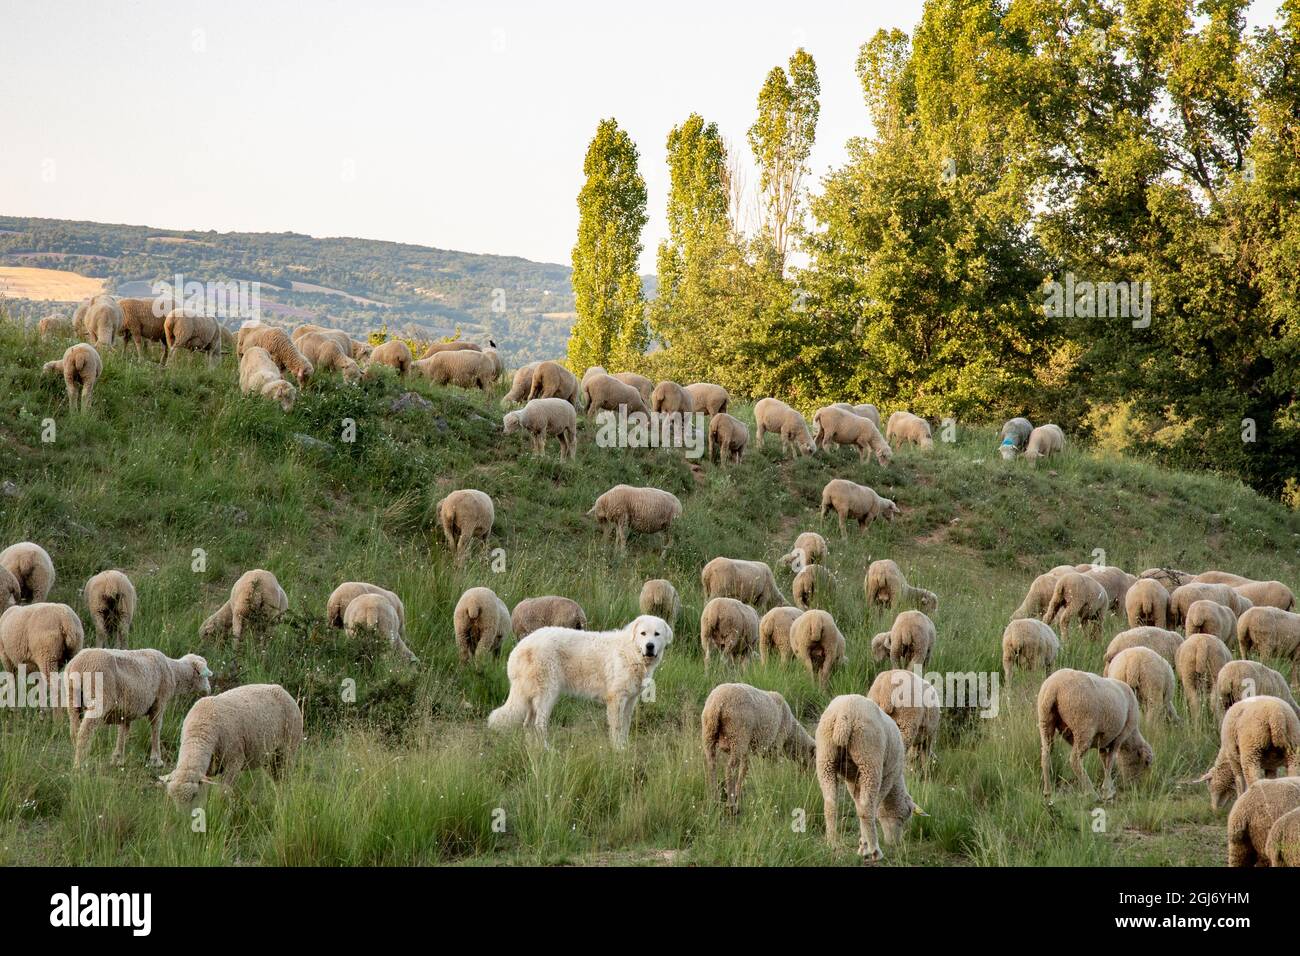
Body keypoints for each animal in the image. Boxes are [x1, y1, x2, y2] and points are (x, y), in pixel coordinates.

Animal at [65, 648, 211, 768]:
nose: (209, 690)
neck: (174, 672)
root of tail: (78, 664)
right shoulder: (159, 702)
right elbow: (156, 728)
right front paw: (156, 760)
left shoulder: (126, 710)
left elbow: (123, 732)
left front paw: (118, 759)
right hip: (100, 696)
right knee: (85, 731)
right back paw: (80, 765)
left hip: (72, 698)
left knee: (74, 730)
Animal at [161, 683, 303, 806]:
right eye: (172, 798)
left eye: (193, 795)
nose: (184, 818)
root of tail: (282, 690)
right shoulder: (208, 771)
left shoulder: (234, 761)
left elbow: (222, 793)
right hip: (270, 757)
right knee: (277, 780)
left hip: (288, 749)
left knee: (285, 780)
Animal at [701, 683, 814, 814]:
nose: (809, 779)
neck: (791, 734)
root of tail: (718, 703)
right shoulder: (775, 746)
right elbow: (771, 768)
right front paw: (772, 783)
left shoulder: (747, 749)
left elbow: (744, 769)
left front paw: (739, 792)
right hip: (737, 735)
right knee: (730, 769)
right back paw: (731, 804)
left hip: (710, 734)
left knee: (711, 765)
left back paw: (714, 799)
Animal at [815, 694, 924, 861]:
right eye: (904, 817)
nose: (895, 843)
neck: (897, 780)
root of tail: (844, 715)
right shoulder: (888, 776)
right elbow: (873, 806)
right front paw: (865, 846)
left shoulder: (852, 780)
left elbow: (858, 804)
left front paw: (862, 843)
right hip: (869, 758)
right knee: (867, 807)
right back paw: (875, 851)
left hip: (825, 757)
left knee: (830, 803)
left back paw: (832, 844)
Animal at [1037, 668, 1153, 799]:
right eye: (1146, 763)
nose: (1140, 788)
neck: (1130, 739)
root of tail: (1054, 687)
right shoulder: (1120, 736)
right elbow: (1110, 761)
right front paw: (1108, 790)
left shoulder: (1101, 741)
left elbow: (1104, 759)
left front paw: (1108, 787)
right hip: (1083, 726)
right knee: (1074, 759)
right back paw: (1091, 792)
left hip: (1045, 721)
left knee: (1046, 754)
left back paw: (1048, 791)